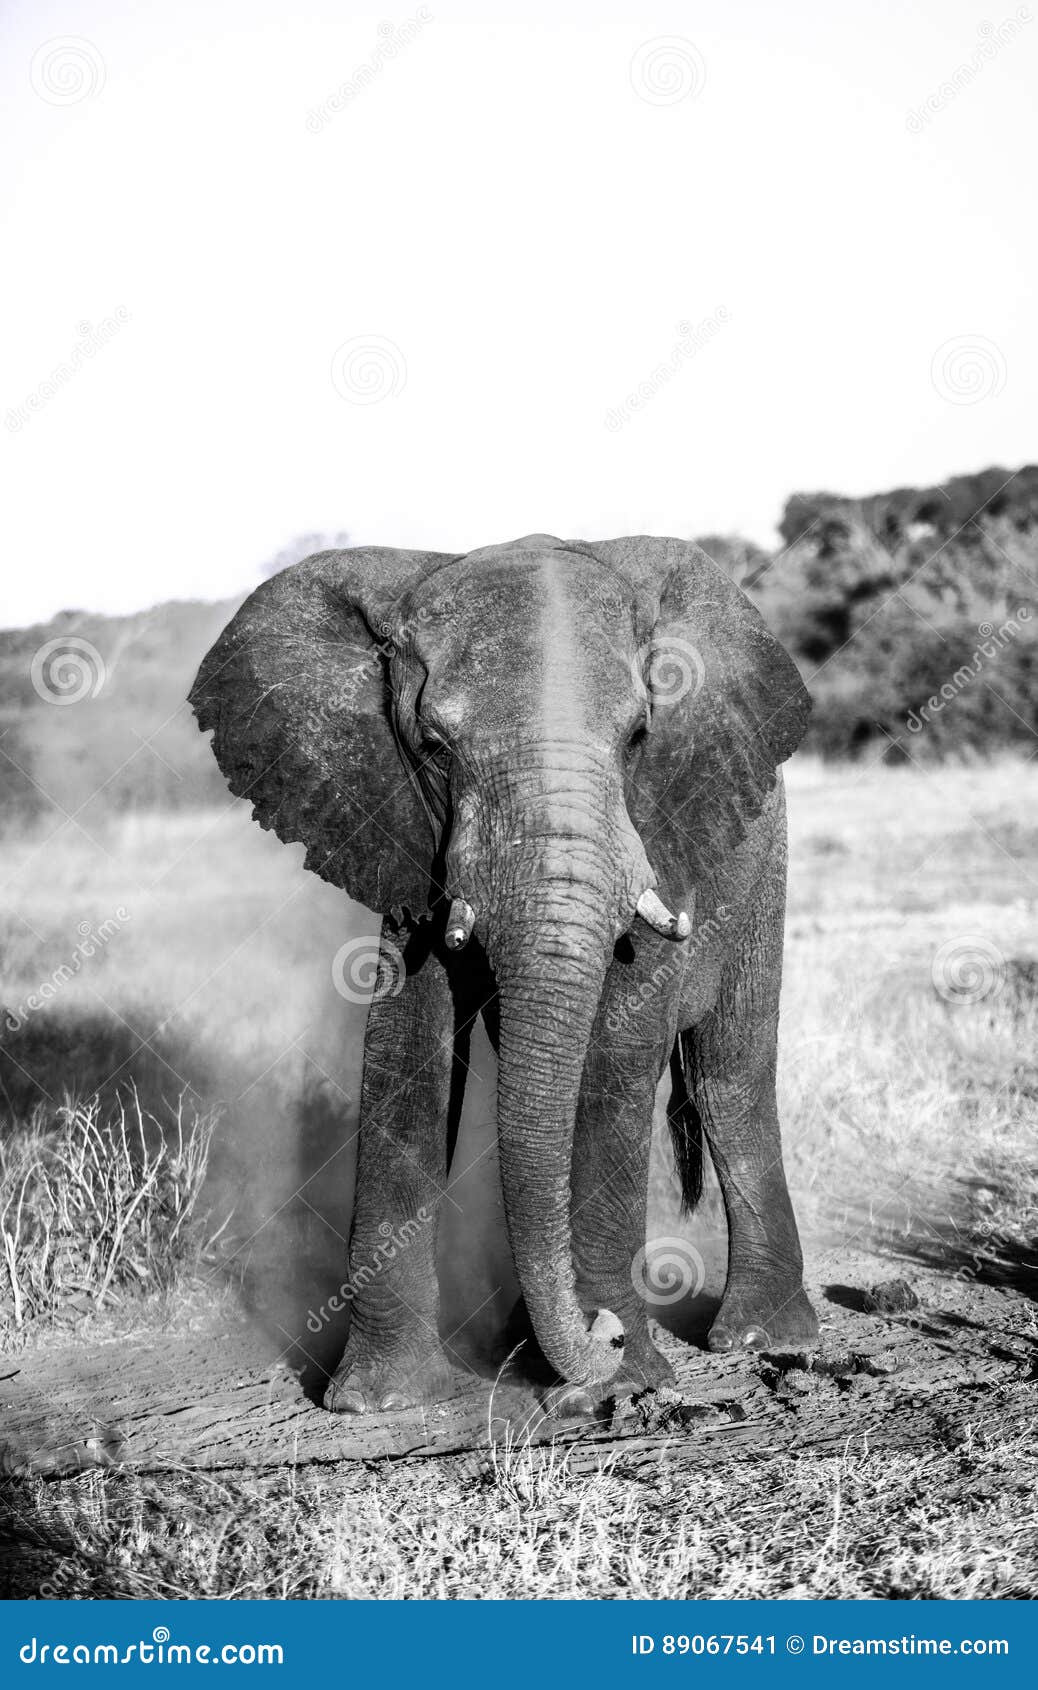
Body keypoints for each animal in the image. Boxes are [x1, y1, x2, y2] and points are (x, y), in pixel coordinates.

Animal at [190, 532, 818, 1415]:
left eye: (639, 737)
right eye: (433, 748)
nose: (603, 1332)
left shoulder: (660, 828)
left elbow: (616, 1053)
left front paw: (613, 1385)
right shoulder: (405, 838)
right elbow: (404, 1047)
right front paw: (379, 1401)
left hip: (765, 864)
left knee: (729, 1077)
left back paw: (766, 1340)